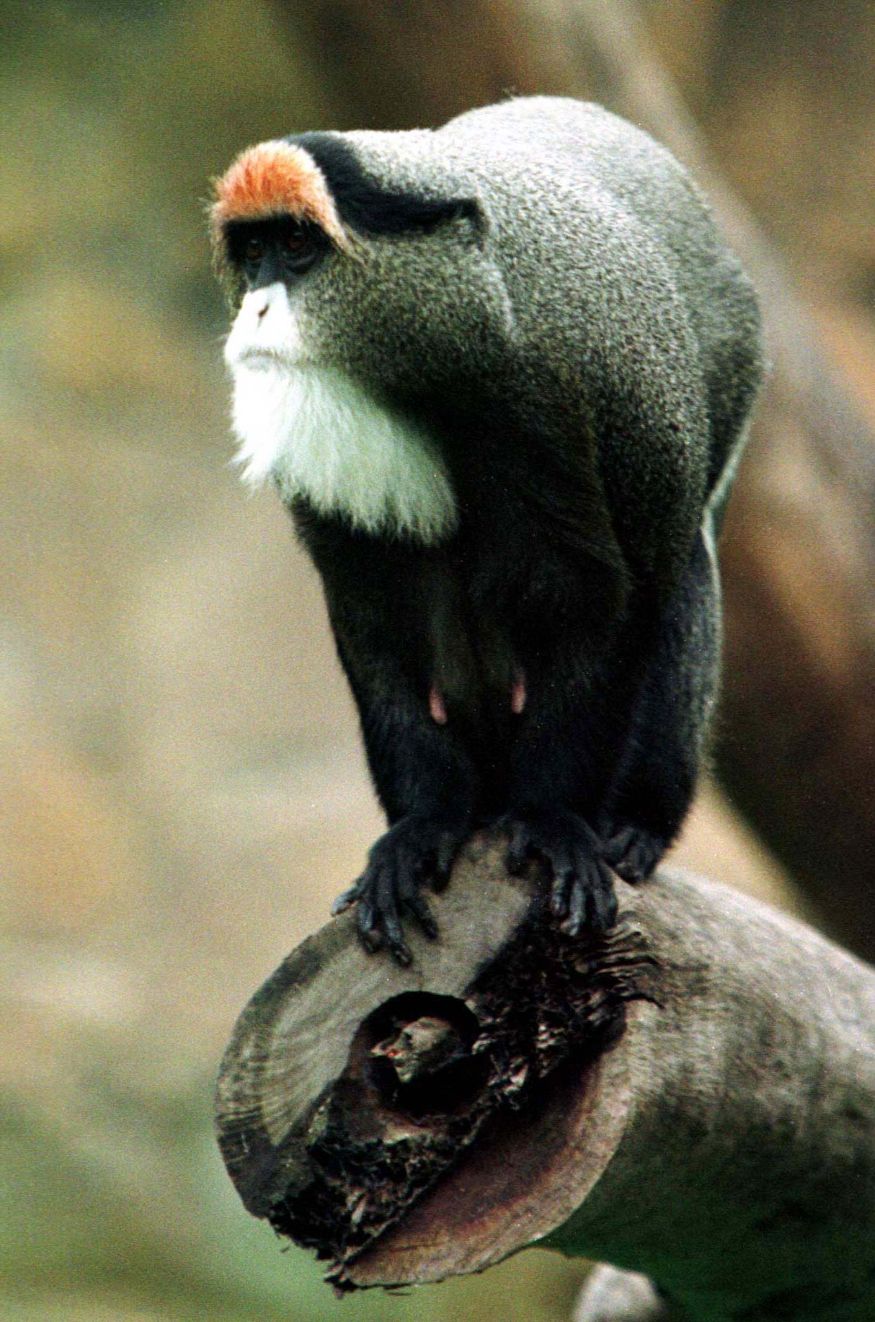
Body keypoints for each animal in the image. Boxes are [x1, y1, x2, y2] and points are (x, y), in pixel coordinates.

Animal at [210, 96, 763, 965]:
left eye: (299, 248)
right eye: (255, 250)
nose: (254, 310)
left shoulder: (580, 390)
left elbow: (603, 607)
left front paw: (550, 821)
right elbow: (375, 627)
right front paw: (422, 825)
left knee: (684, 585)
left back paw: (633, 827)